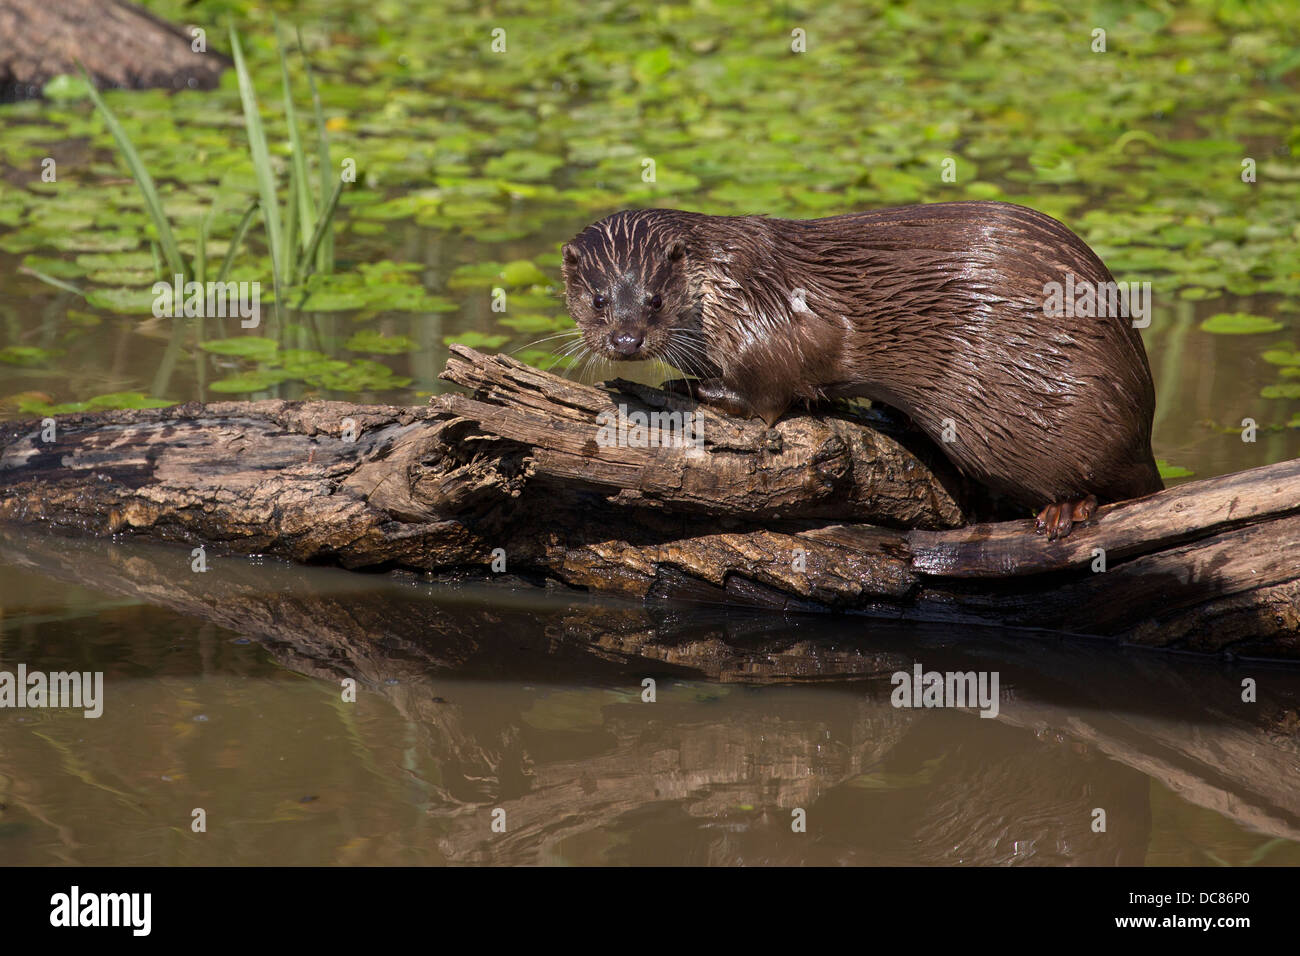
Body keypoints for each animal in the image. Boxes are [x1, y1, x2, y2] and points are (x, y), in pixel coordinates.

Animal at [560, 201, 1163, 539]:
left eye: (657, 299)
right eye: (597, 300)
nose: (626, 339)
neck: (723, 284)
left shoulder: (773, 319)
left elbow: (767, 391)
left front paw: (691, 387)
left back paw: (1067, 510)